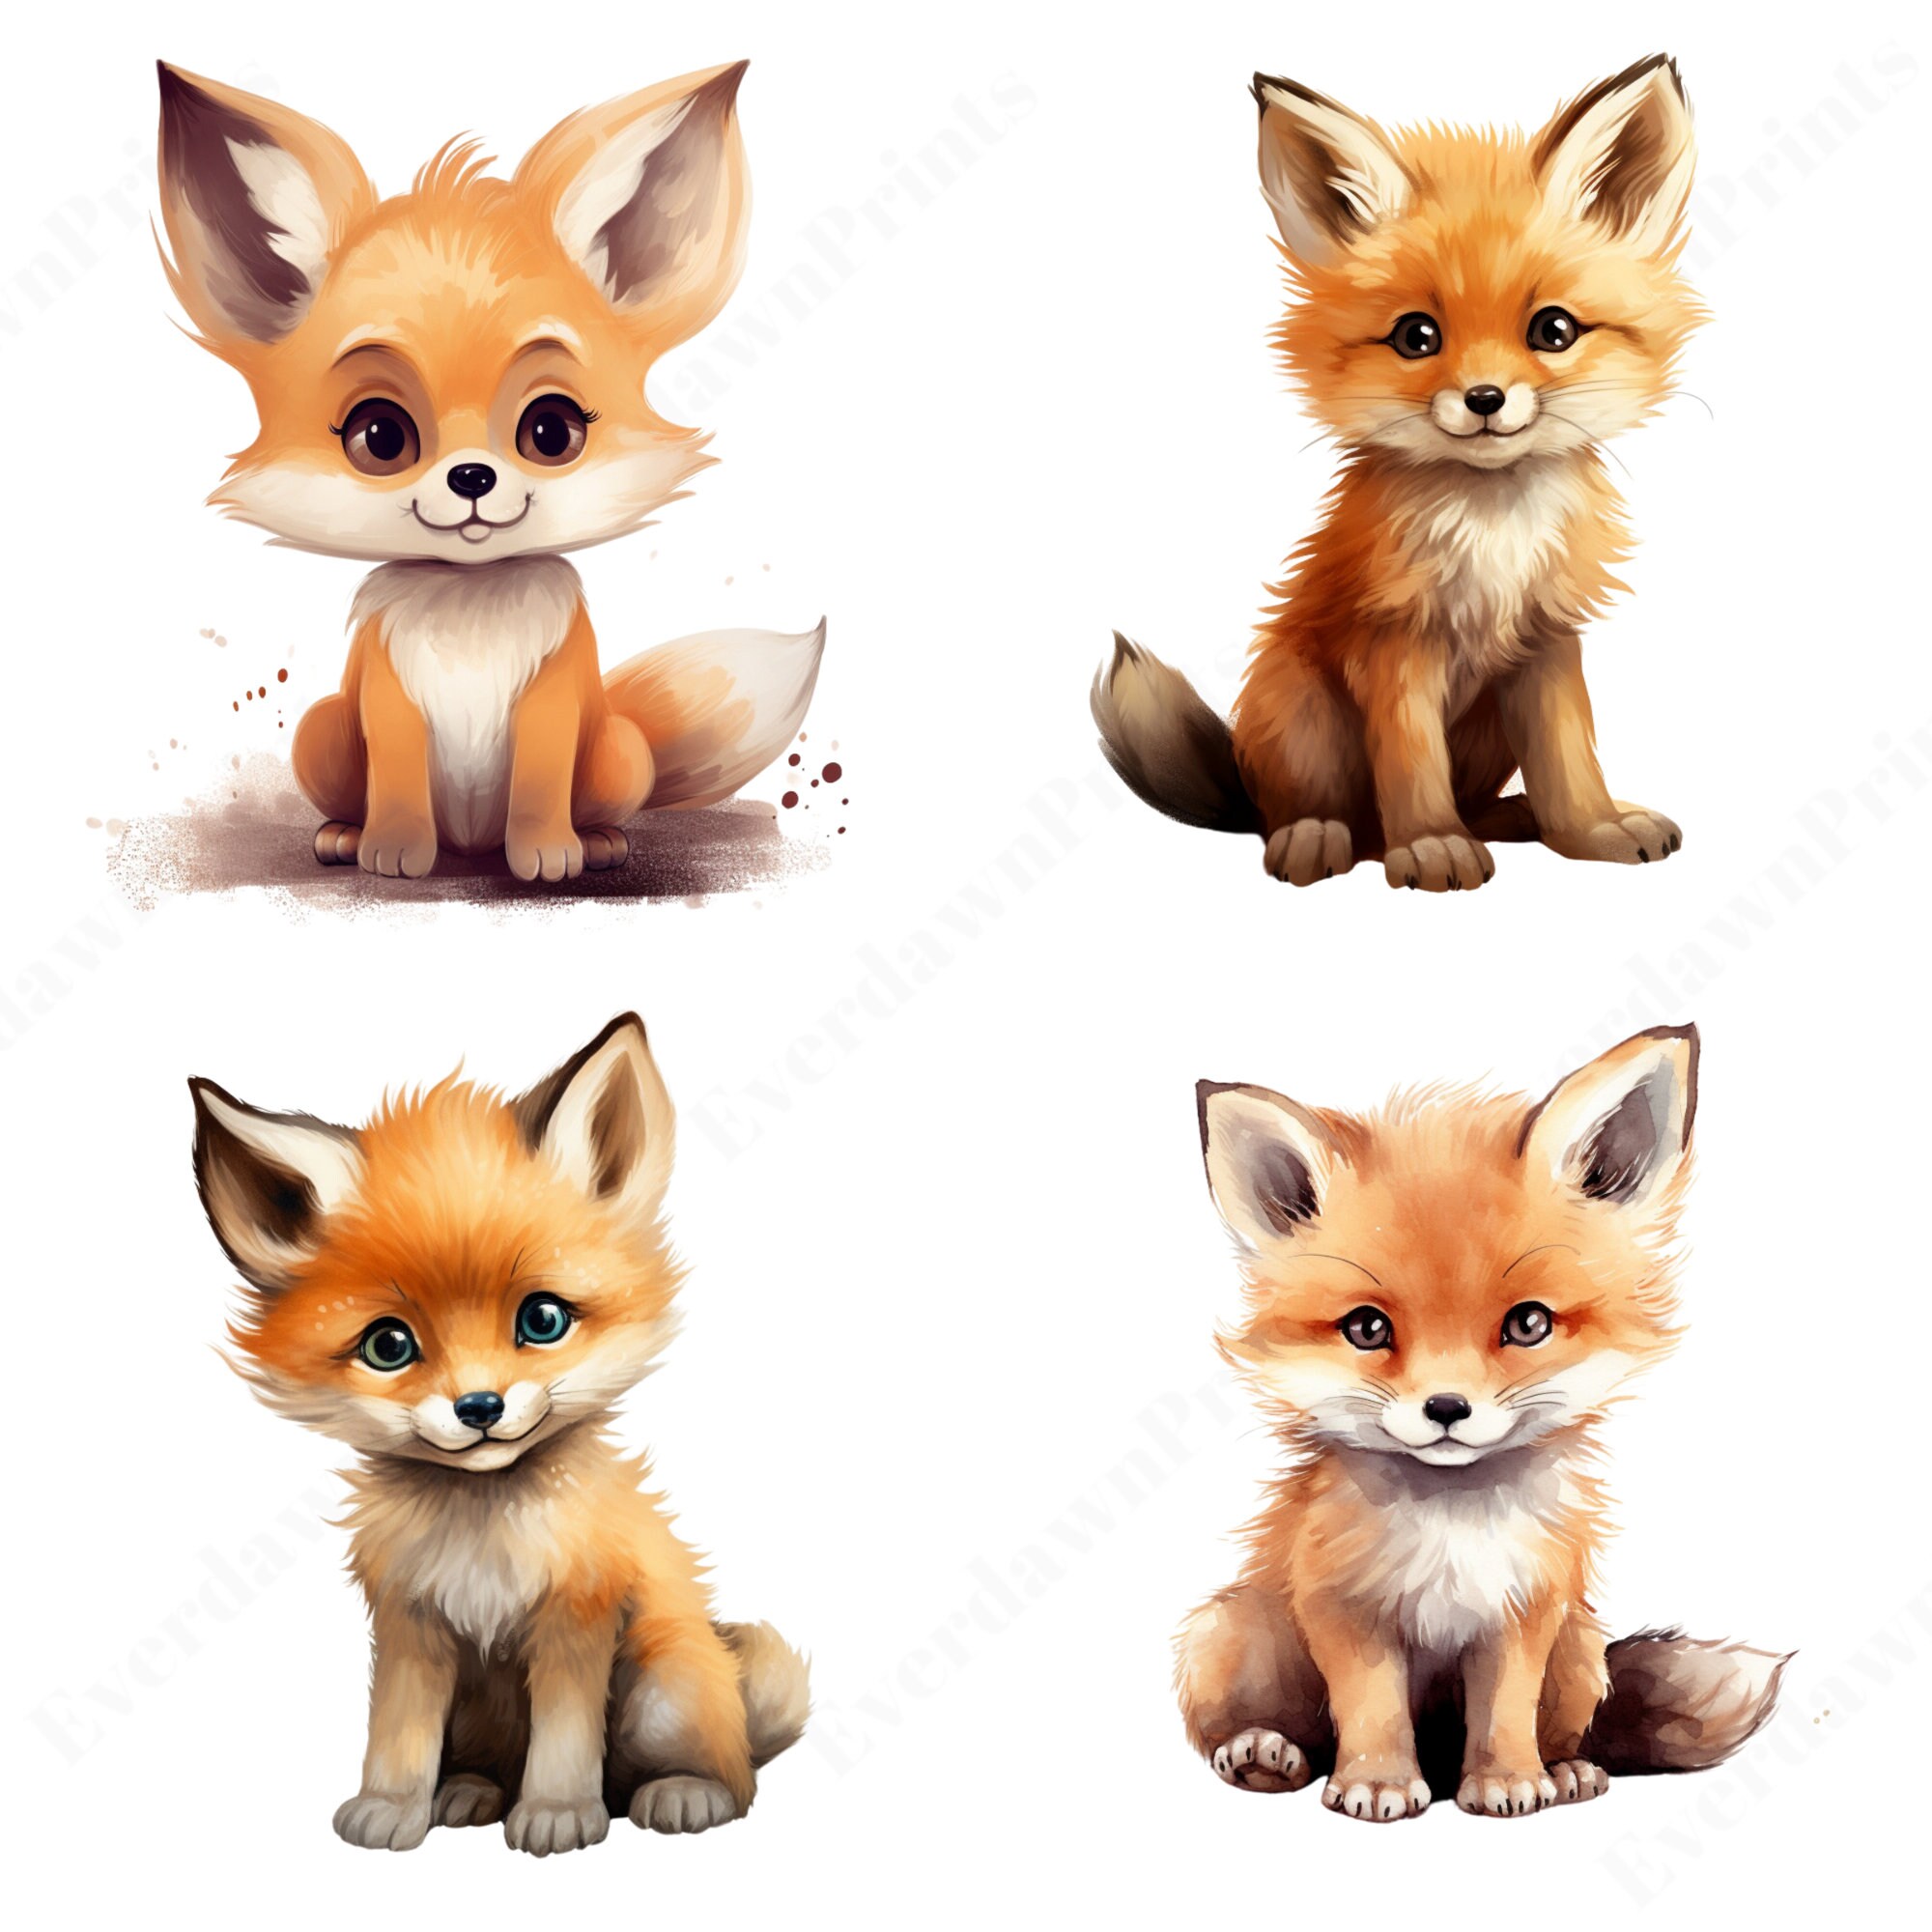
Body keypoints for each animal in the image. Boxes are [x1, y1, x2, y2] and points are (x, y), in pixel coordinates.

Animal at [156, 61, 823, 882]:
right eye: (380, 436)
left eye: (552, 431)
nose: (471, 477)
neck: (467, 608)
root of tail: (469, 848)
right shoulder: (388, 692)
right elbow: (399, 776)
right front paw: (392, 851)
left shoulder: (551, 694)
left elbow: (539, 777)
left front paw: (545, 854)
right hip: (318, 731)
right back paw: (344, 835)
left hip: (621, 748)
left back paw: (598, 842)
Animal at [188, 1014, 809, 1854]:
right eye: (389, 1345)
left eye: (542, 1320)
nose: (479, 1406)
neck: (482, 1530)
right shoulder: (411, 1624)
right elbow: (398, 1734)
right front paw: (392, 1804)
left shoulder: (577, 1617)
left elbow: (566, 1740)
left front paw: (557, 1813)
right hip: (481, 1712)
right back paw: (469, 1793)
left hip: (662, 1690)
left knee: (727, 1777)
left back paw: (682, 1791)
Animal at [1093, 57, 1704, 891]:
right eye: (1417, 336)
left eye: (1553, 330)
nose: (1485, 399)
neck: (1490, 525)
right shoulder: (1393, 642)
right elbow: (1412, 765)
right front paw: (1433, 845)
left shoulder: (1544, 642)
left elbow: (1569, 758)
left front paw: (1593, 829)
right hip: (1305, 712)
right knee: (1321, 818)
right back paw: (1321, 837)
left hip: (1485, 726)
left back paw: (1512, 819)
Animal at [1177, 1025, 1786, 1820]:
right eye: (1367, 1328)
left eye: (1528, 1324)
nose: (1446, 1408)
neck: (1451, 1529)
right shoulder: (1344, 1609)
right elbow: (1372, 1711)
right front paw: (1376, 1781)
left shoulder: (1524, 1609)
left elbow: (1504, 1713)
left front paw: (1506, 1780)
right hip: (1227, 1635)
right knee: (1272, 1734)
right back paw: (1264, 1753)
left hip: (1580, 1651)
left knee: (1559, 1731)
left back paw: (1565, 1771)